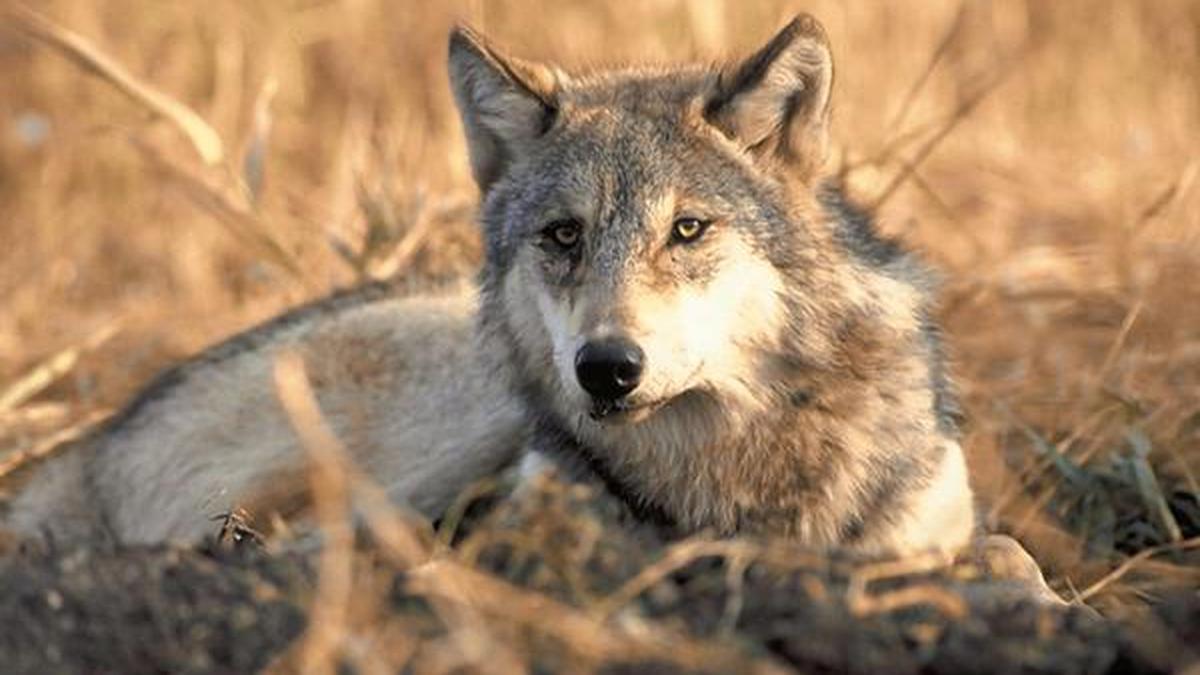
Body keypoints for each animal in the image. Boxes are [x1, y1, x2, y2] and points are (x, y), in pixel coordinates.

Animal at [8, 15, 983, 562]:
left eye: (687, 230)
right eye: (564, 235)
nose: (607, 368)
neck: (735, 471)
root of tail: (95, 441)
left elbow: (998, 553)